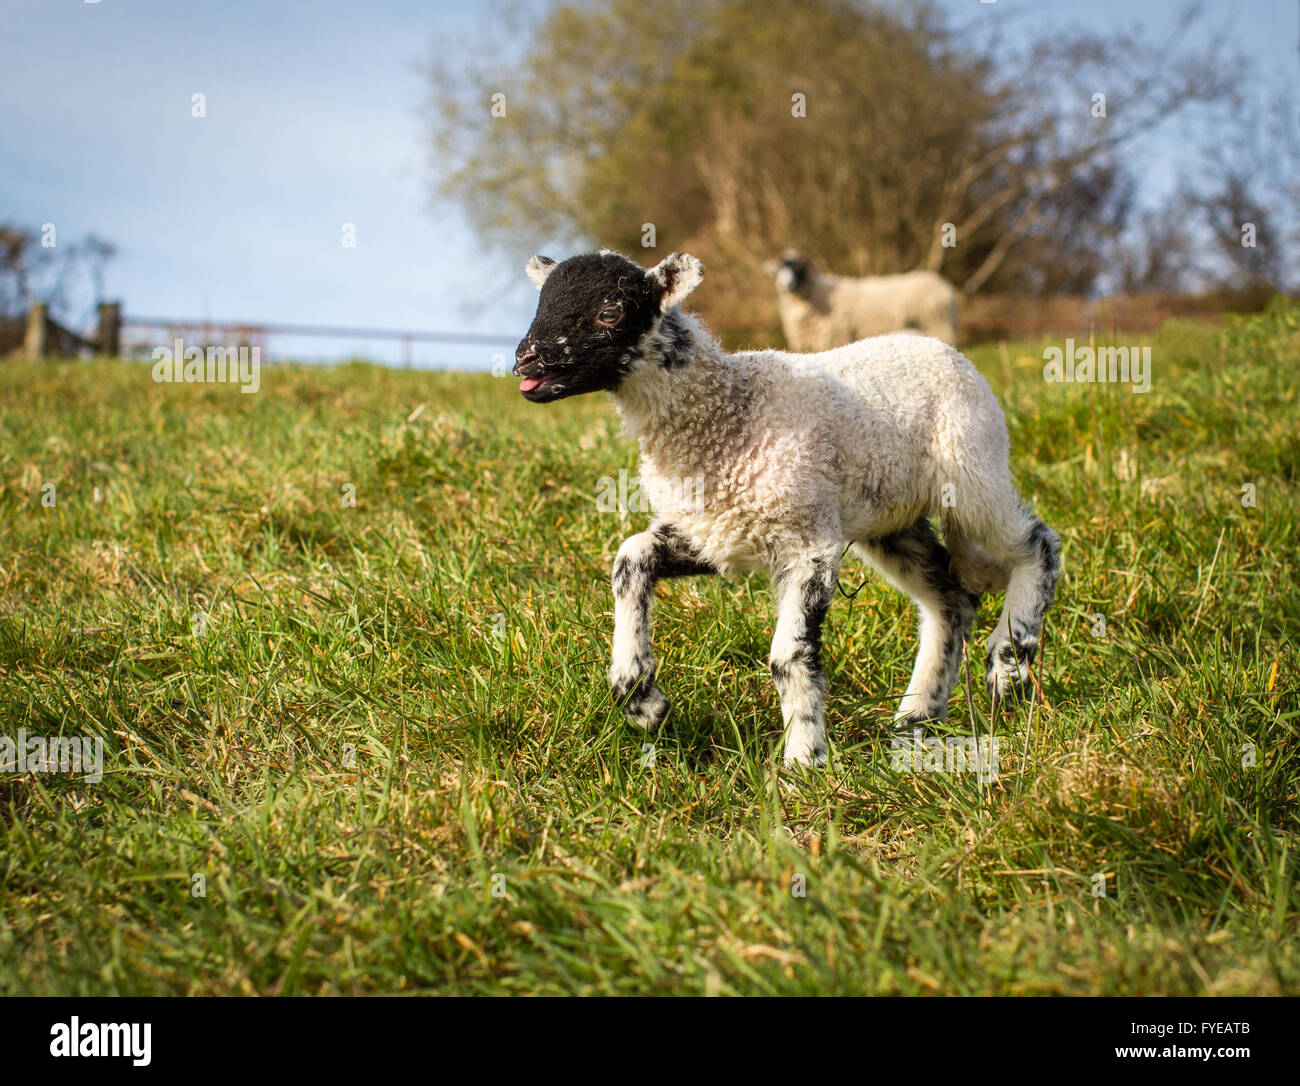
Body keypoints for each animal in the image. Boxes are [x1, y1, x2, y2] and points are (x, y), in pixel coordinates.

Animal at [766, 251, 961, 349]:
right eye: (780, 268)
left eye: (799, 267)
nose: (786, 285)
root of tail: (948, 289)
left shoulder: (835, 336)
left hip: (938, 324)